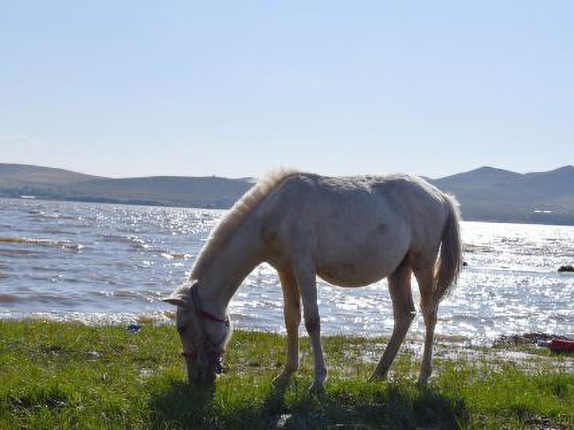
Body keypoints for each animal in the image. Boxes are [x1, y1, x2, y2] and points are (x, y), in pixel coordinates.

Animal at [163, 170, 464, 390]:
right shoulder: (286, 270)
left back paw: (423, 377)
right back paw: (378, 373)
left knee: (429, 314)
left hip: (422, 263)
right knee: (404, 315)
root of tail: (442, 197)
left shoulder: (303, 267)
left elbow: (312, 321)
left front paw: (318, 380)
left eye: (181, 327)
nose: (196, 379)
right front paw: (285, 375)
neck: (275, 213)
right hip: (399, 270)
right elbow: (291, 318)